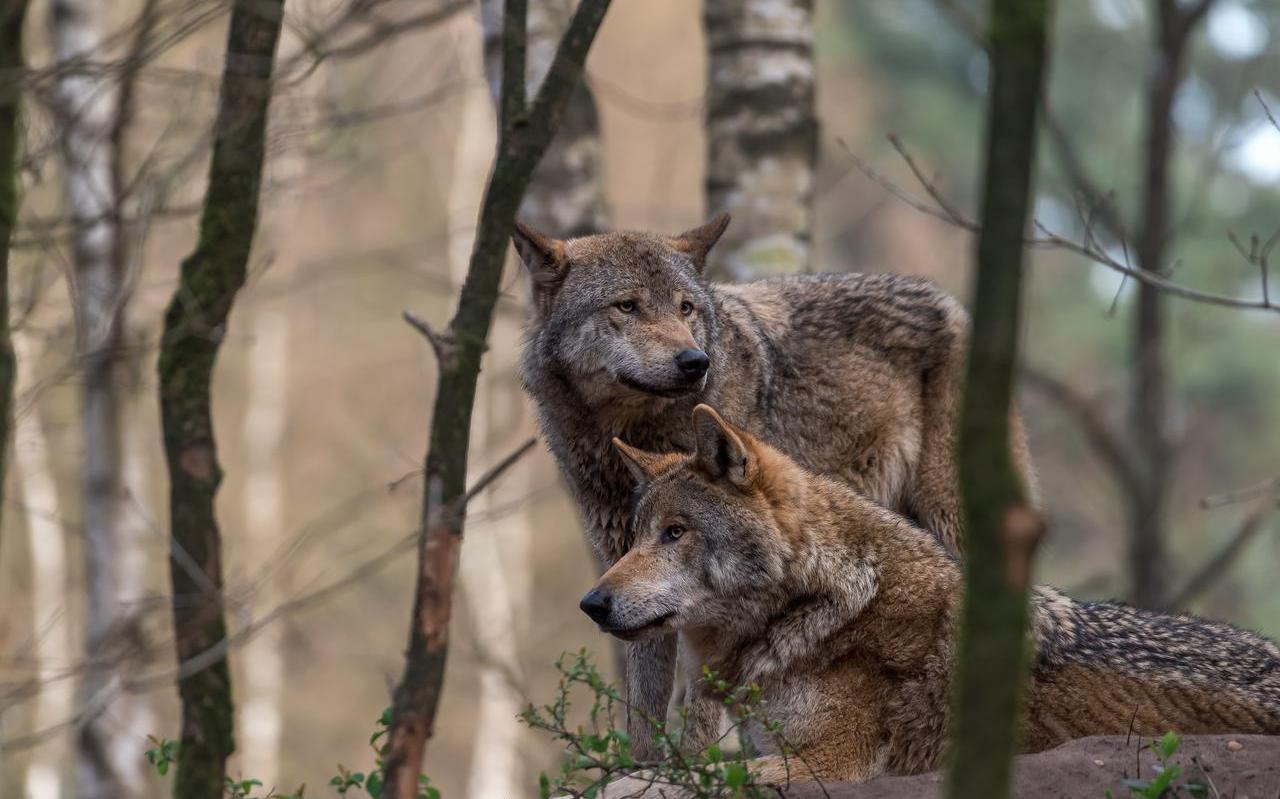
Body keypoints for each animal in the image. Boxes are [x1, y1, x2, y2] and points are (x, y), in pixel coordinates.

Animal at [513, 214, 1037, 753]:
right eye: (627, 305)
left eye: (686, 307)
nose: (694, 361)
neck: (634, 430)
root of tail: (952, 303)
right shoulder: (632, 572)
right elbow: (643, 714)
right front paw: (645, 766)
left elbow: (698, 711)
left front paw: (697, 764)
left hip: (952, 518)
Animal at [581, 405, 1280, 793]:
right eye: (637, 536)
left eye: (676, 533)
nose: (592, 604)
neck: (815, 604)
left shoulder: (831, 765)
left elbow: (661, 778)